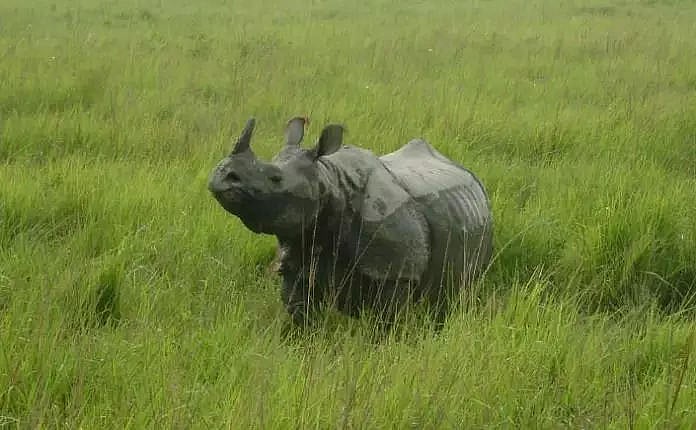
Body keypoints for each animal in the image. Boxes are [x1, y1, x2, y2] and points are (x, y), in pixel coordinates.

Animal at [208, 116, 494, 326]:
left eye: (275, 178)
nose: (223, 175)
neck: (329, 182)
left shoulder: (396, 273)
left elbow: (388, 323)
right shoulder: (298, 252)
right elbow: (299, 313)